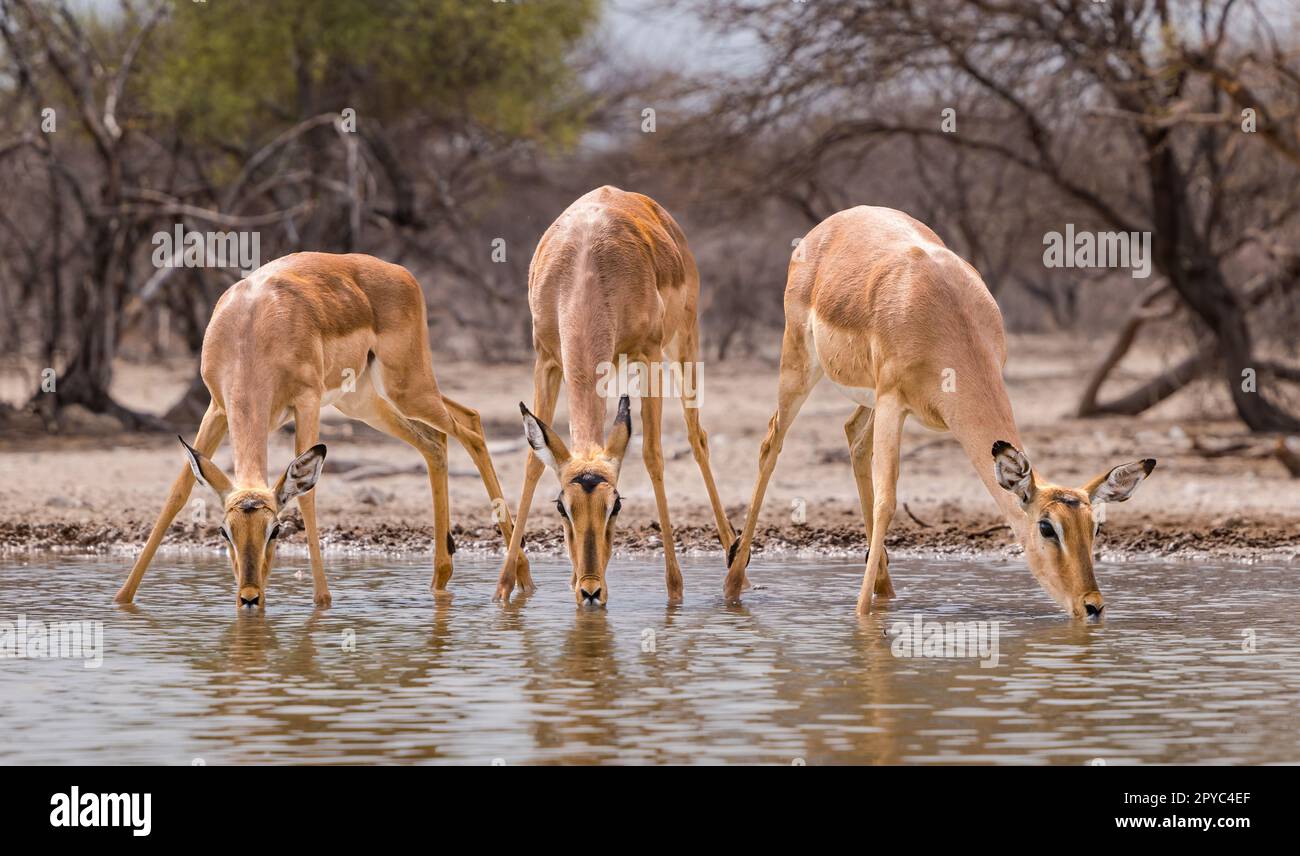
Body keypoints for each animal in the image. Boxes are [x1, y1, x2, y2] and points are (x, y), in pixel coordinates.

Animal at [114, 252, 527, 609]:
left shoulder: (306, 403)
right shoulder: (216, 408)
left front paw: (322, 602)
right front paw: (122, 598)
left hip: (407, 387)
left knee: (471, 424)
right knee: (436, 442)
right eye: (223, 531)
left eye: (275, 530)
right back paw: (441, 577)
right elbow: (179, 490)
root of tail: (400, 272)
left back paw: (519, 574)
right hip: (363, 401)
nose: (249, 597)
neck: (252, 326)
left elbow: (307, 495)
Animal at [497, 186, 737, 606]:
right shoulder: (546, 359)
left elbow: (653, 455)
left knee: (697, 436)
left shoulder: (649, 355)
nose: (591, 591)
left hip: (683, 341)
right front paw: (506, 586)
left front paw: (675, 589)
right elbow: (532, 463)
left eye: (617, 505)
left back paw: (735, 565)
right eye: (562, 506)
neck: (586, 268)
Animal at [723, 207, 1156, 618]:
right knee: (771, 443)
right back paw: (733, 582)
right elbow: (887, 502)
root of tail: (828, 226)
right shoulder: (893, 401)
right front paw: (861, 618)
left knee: (853, 437)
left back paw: (885, 589)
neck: (942, 309)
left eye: (1095, 526)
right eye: (1047, 527)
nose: (1092, 605)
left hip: (866, 397)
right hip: (800, 365)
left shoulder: (892, 402)